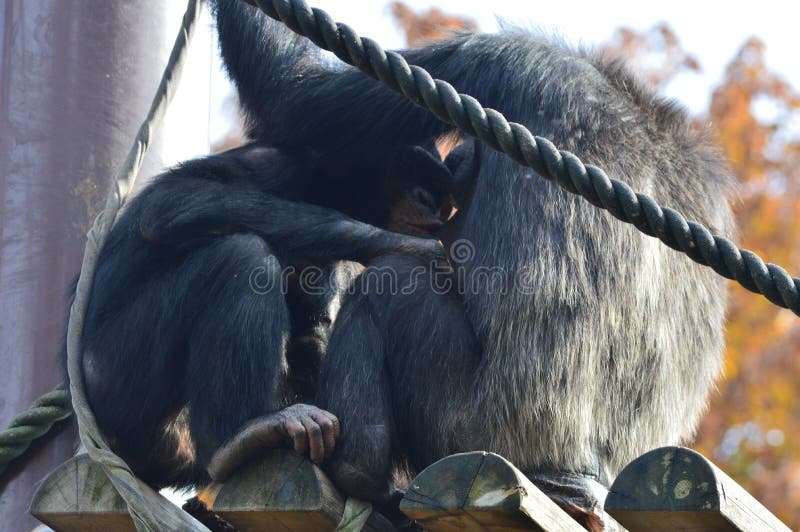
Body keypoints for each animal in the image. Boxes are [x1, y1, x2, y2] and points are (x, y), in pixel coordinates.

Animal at [205, 2, 734, 527]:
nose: (454, 168)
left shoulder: (496, 61)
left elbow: (297, 94)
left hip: (466, 429)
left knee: (389, 283)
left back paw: (356, 471)